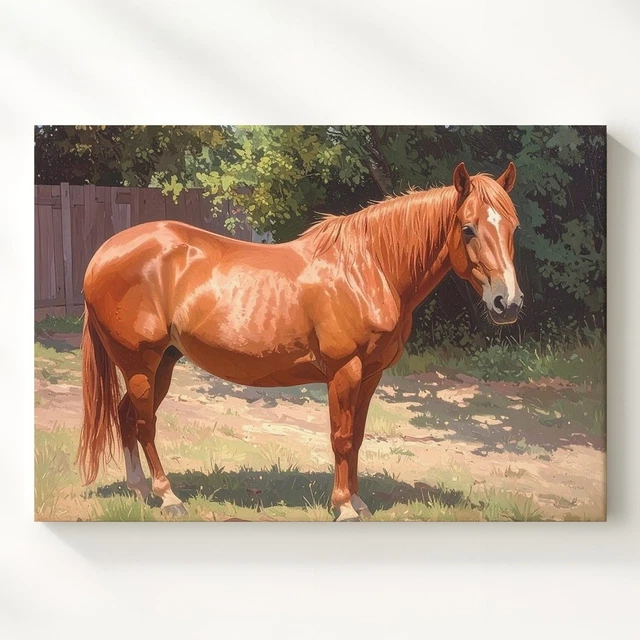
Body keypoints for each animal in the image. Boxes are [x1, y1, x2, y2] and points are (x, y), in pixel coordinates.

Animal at [78, 161, 522, 521]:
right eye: (468, 228)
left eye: (512, 228)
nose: (508, 302)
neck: (368, 268)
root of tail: (101, 256)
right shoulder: (345, 371)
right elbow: (341, 437)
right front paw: (344, 507)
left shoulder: (371, 374)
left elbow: (357, 437)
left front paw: (358, 502)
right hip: (140, 363)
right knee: (144, 424)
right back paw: (168, 497)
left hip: (164, 363)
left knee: (125, 417)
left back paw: (140, 490)